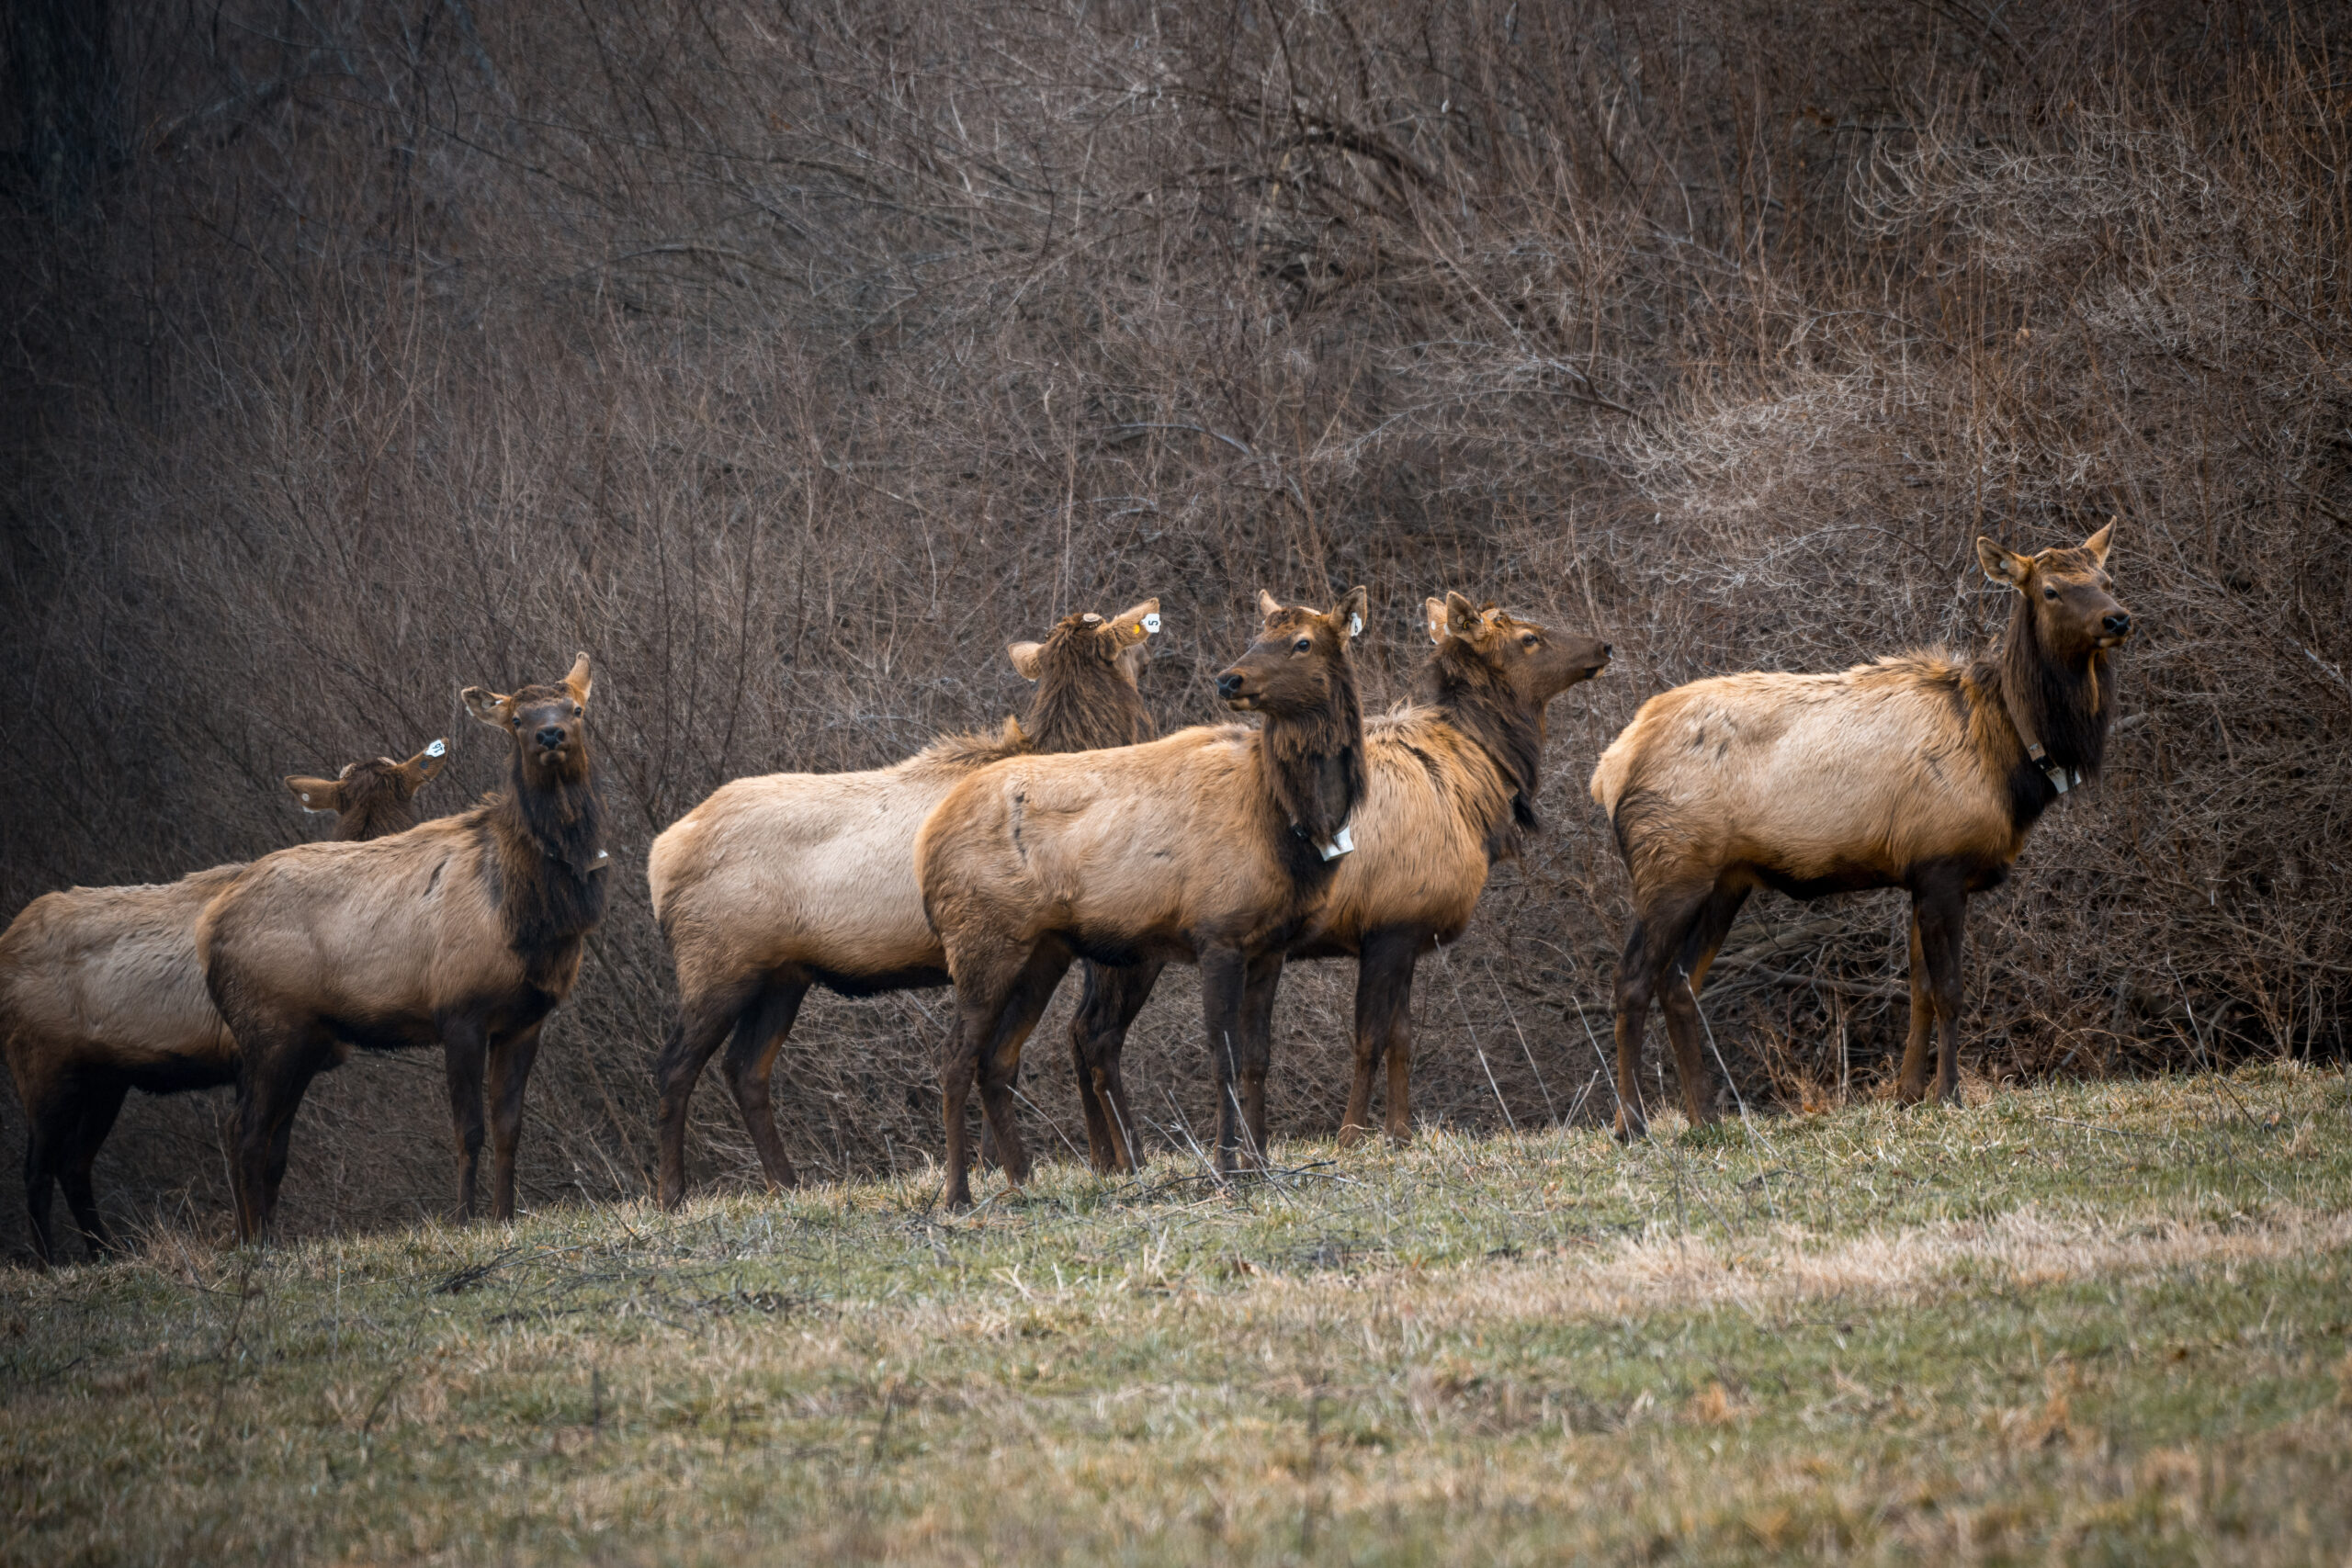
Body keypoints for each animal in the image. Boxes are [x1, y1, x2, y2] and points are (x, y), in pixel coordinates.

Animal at [1, 741, 447, 1263]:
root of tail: (6, 946)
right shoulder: (260, 1054)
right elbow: (250, 1145)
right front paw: (252, 1241)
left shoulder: (302, 1058)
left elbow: (277, 1156)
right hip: (40, 1062)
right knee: (37, 1168)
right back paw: (50, 1263)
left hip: (105, 1077)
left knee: (74, 1163)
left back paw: (105, 1253)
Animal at [198, 655, 605, 1240]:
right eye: (516, 720)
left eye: (575, 709)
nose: (550, 735)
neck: (528, 915)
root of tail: (206, 932)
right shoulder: (458, 1009)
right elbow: (468, 1129)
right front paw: (464, 1221)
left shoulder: (526, 1018)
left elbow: (509, 1127)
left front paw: (505, 1217)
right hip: (267, 1026)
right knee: (243, 1130)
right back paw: (256, 1243)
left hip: (303, 1039)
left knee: (270, 1138)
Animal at [647, 601, 1163, 1208]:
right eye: (1128, 644)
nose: (1150, 648)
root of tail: (657, 861)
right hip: (717, 966)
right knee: (675, 1068)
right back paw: (672, 1196)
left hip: (783, 976)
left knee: (745, 1069)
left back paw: (790, 1186)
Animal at [917, 589, 1371, 1207]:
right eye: (1259, 635)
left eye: (1302, 642)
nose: (1229, 679)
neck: (1288, 823)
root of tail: (927, 844)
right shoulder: (1218, 932)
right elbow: (1223, 1057)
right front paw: (1227, 1170)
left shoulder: (1272, 944)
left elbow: (1258, 1058)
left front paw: (1263, 1165)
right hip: (981, 942)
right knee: (955, 1057)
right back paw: (959, 1195)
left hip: (1044, 952)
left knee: (998, 1058)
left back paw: (1025, 1183)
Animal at [1589, 522, 2133, 1135]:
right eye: (2051, 590)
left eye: (2107, 578)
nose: (2118, 619)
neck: (2015, 754)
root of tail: (1609, 768)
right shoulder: (1943, 866)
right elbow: (1950, 990)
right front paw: (1949, 1095)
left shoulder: (1920, 873)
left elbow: (1919, 989)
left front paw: (1908, 1094)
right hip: (1670, 868)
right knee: (1632, 980)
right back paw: (1631, 1125)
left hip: (1725, 881)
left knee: (1679, 982)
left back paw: (1706, 1118)